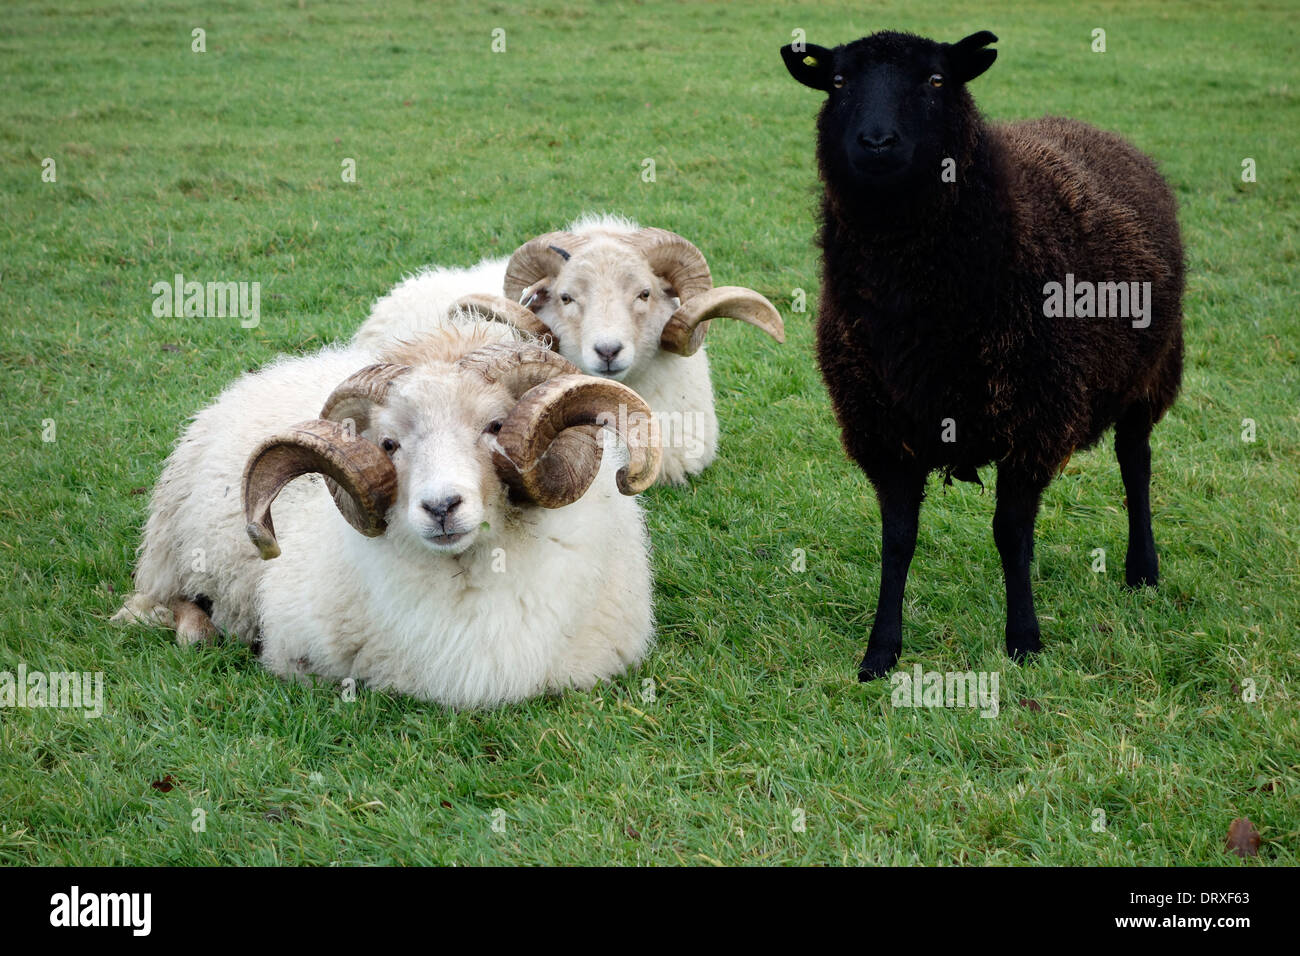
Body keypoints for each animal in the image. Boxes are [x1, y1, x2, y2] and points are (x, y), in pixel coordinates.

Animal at [779, 30, 1184, 679]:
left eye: (937, 80)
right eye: (837, 82)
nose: (876, 142)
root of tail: (1088, 126)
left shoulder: (1036, 417)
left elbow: (1010, 533)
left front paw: (1023, 641)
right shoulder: (883, 428)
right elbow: (898, 540)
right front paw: (880, 652)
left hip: (1150, 371)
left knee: (1135, 461)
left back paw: (1141, 570)